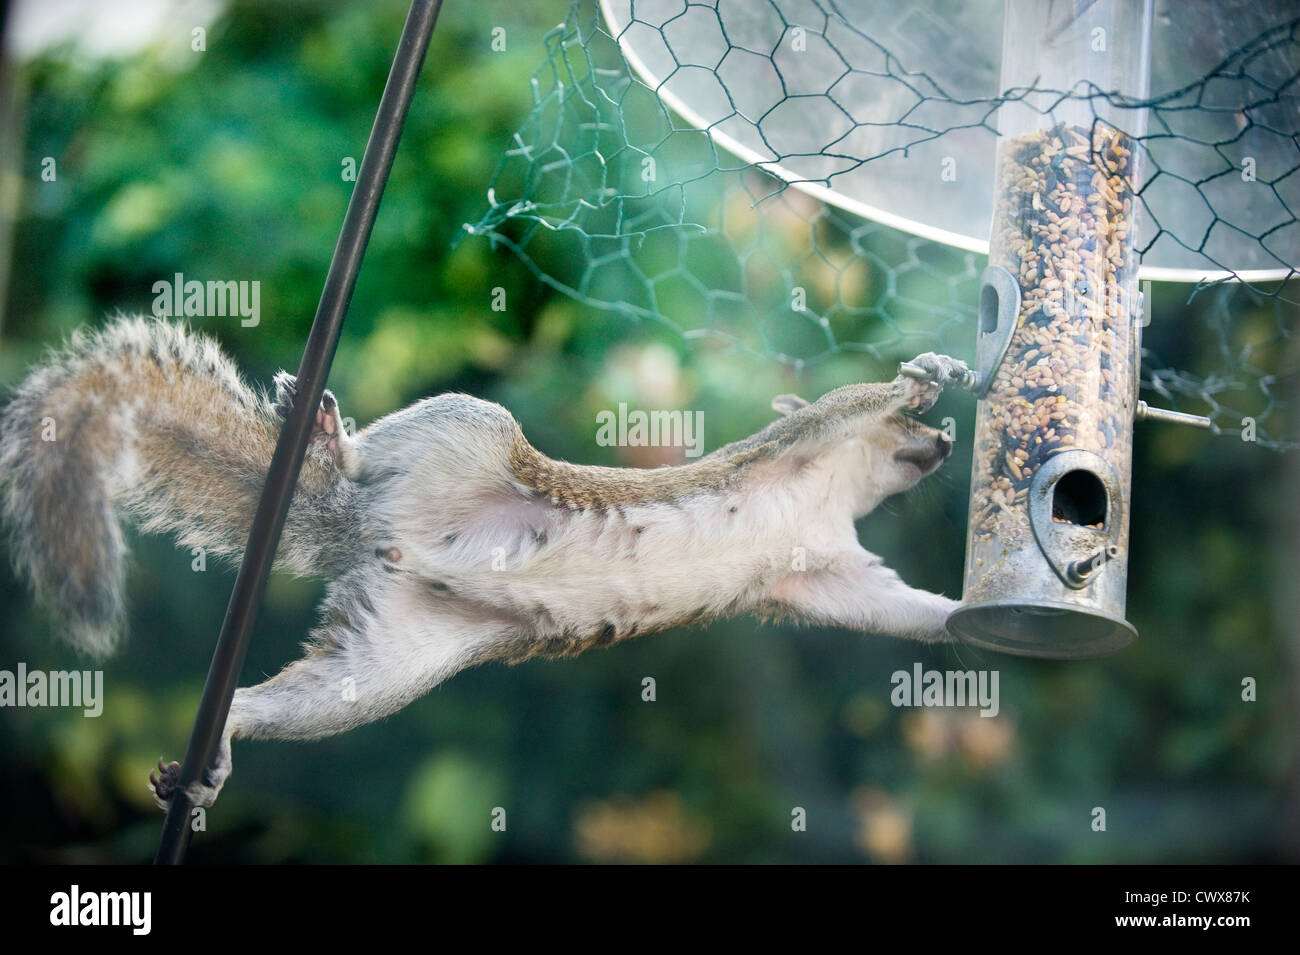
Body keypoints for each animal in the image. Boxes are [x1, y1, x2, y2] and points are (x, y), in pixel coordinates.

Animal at [0, 316, 968, 809]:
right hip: (463, 428)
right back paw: (328, 438)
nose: (949, 446)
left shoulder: (824, 574)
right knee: (368, 456)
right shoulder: (797, 447)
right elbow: (850, 402)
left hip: (385, 666)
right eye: (907, 429)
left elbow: (901, 608)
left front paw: (972, 618)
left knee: (298, 700)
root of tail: (368, 529)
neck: (836, 495)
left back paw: (219, 752)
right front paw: (925, 372)